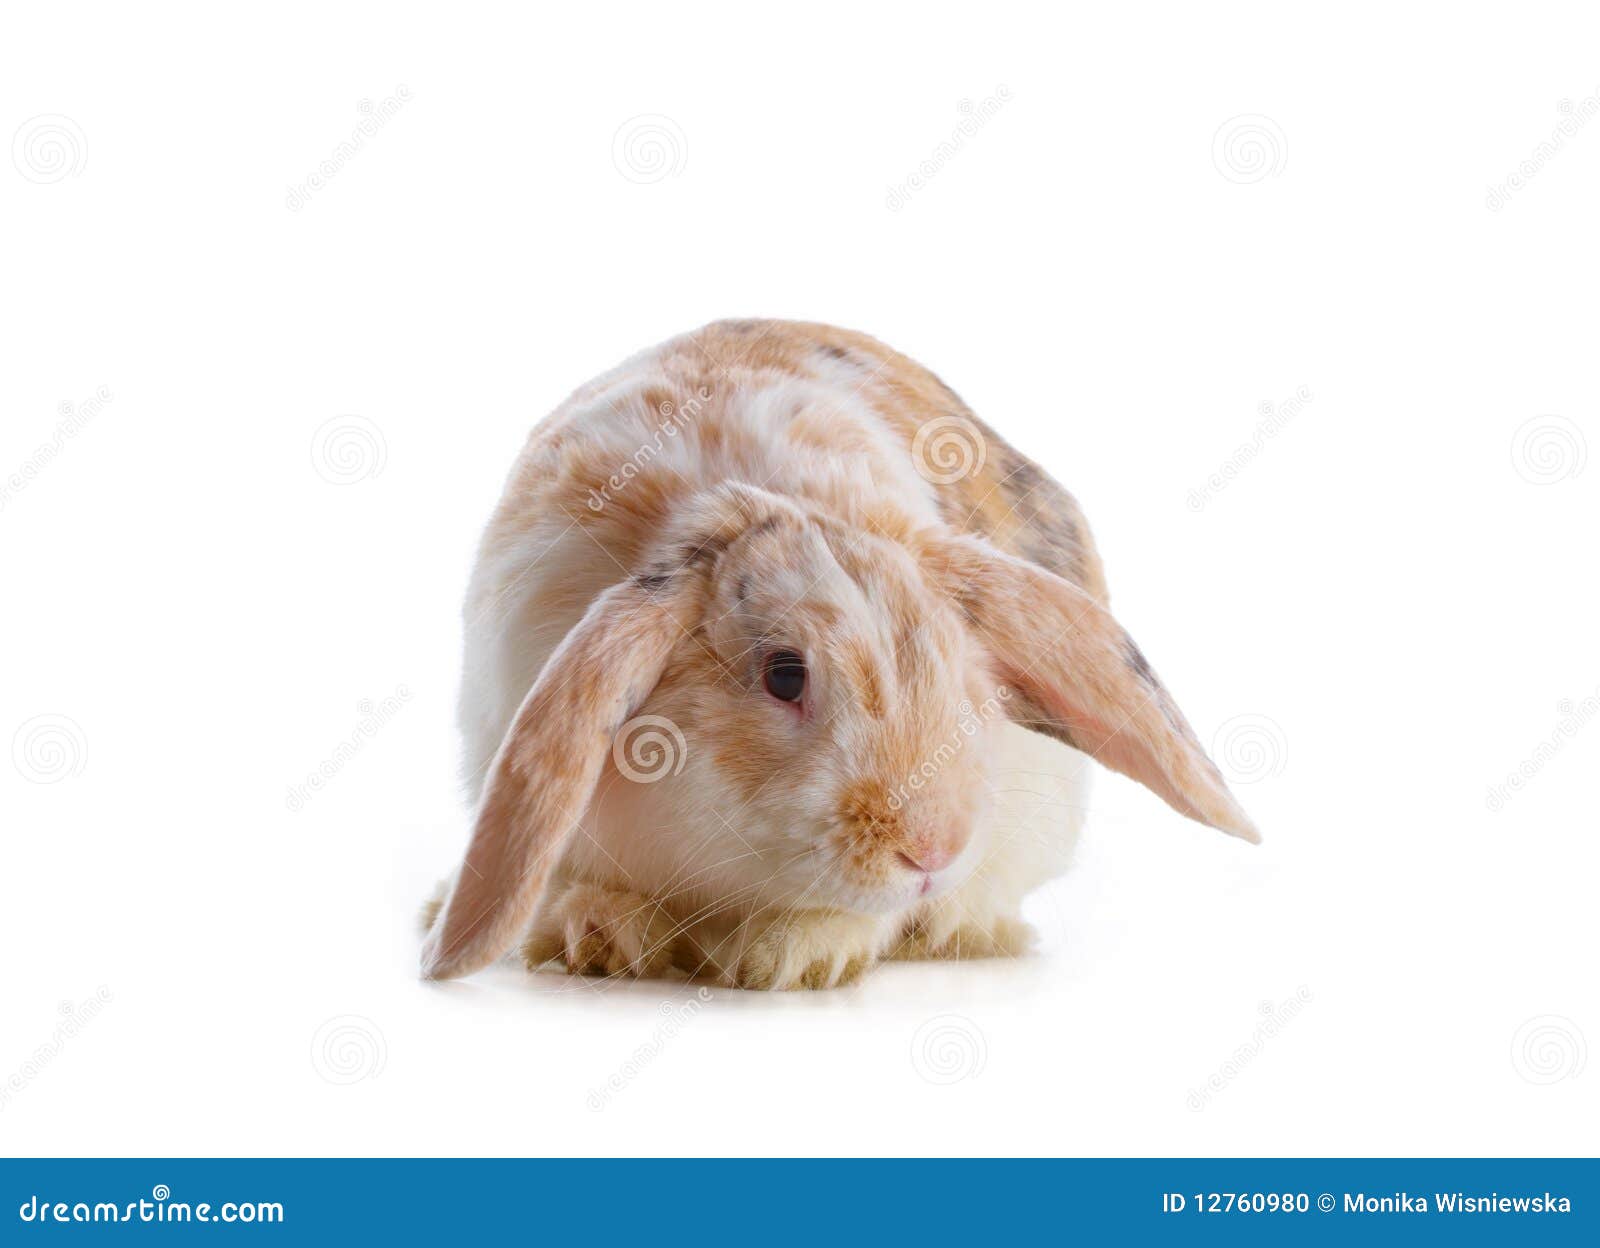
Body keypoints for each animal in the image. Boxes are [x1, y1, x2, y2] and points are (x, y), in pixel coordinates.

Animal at [420, 319, 1258, 989]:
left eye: (969, 684)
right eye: (784, 675)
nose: (935, 846)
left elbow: (857, 919)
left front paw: (787, 957)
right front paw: (597, 935)